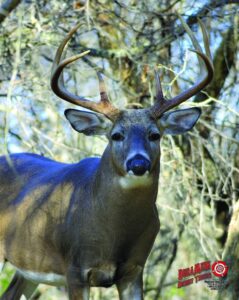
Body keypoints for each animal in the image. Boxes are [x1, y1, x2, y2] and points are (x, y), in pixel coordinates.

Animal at [0, 18, 213, 300]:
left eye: (155, 135)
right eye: (116, 135)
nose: (138, 163)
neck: (114, 234)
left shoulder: (134, 269)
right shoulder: (75, 269)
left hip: (27, 268)